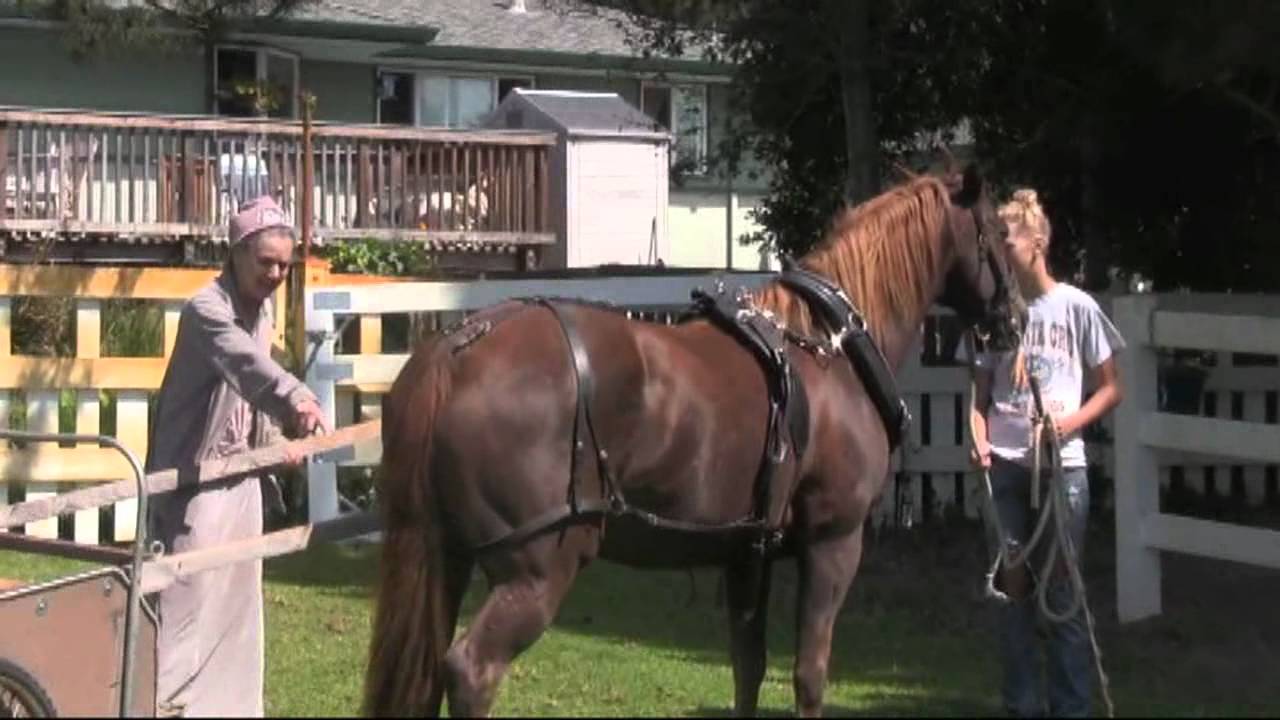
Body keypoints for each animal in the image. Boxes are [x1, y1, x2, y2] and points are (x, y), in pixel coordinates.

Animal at [362, 162, 1023, 717]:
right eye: (997, 232)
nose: (1014, 319)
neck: (827, 349)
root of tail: (457, 348)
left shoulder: (747, 555)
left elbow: (748, 668)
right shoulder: (833, 545)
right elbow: (809, 676)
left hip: (447, 560)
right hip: (537, 571)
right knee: (471, 671)